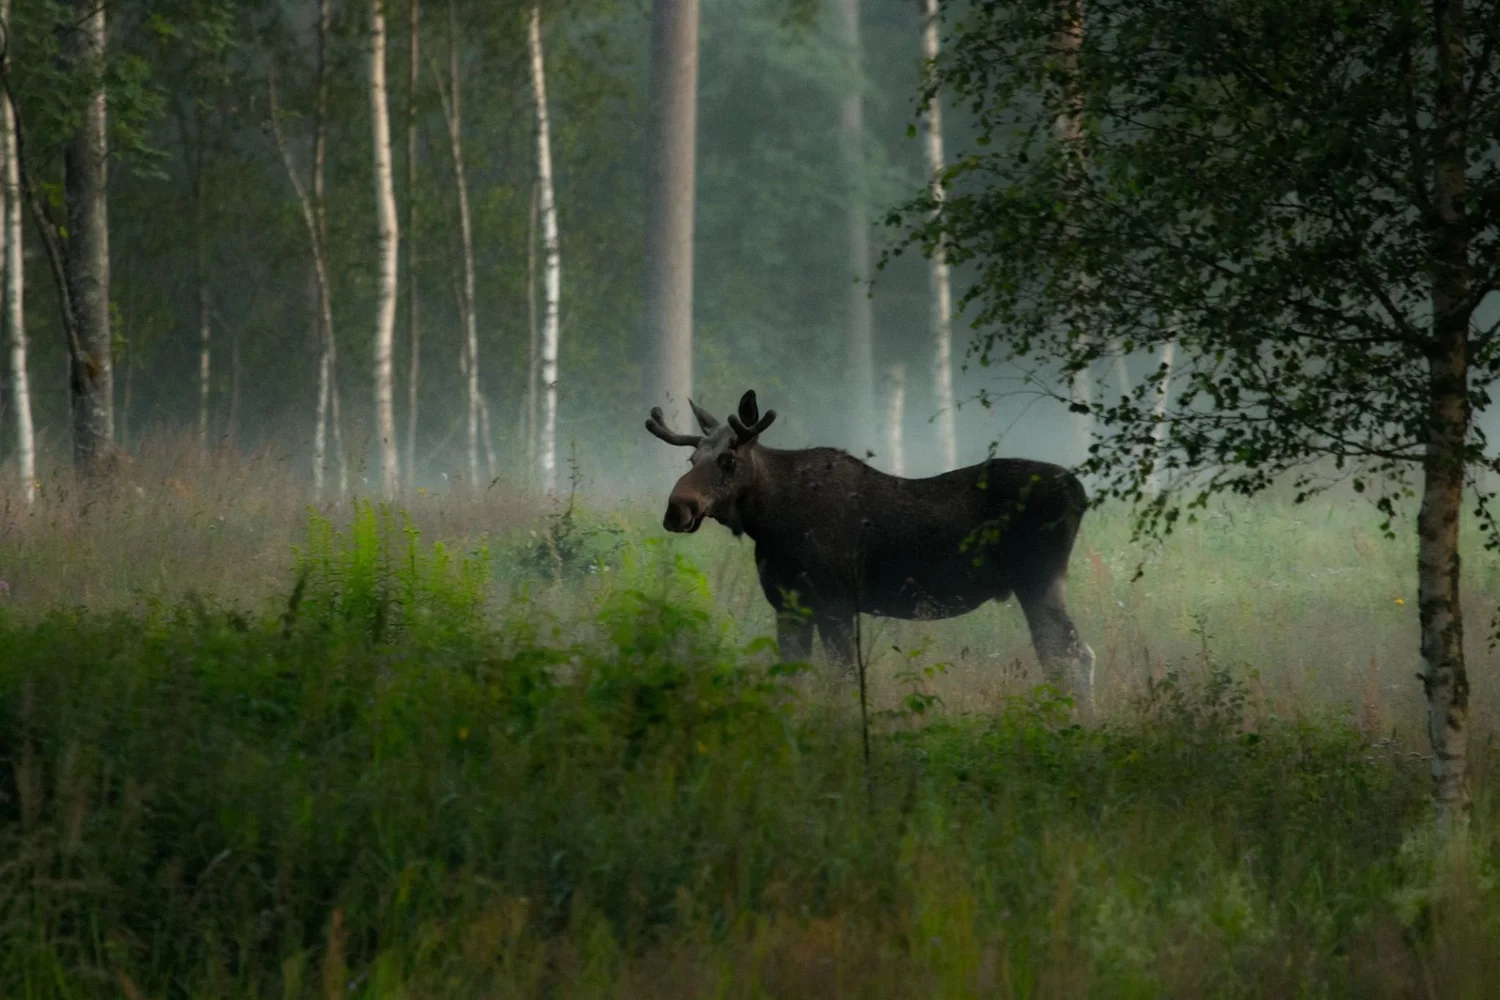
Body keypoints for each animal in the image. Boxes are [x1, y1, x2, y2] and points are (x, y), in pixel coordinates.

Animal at [645, 389, 1097, 713]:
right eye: (691, 457)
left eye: (727, 459)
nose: (676, 508)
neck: (767, 520)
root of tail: (1080, 491)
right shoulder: (790, 606)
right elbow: (791, 677)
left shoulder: (834, 603)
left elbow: (843, 680)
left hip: (1038, 581)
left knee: (1071, 656)